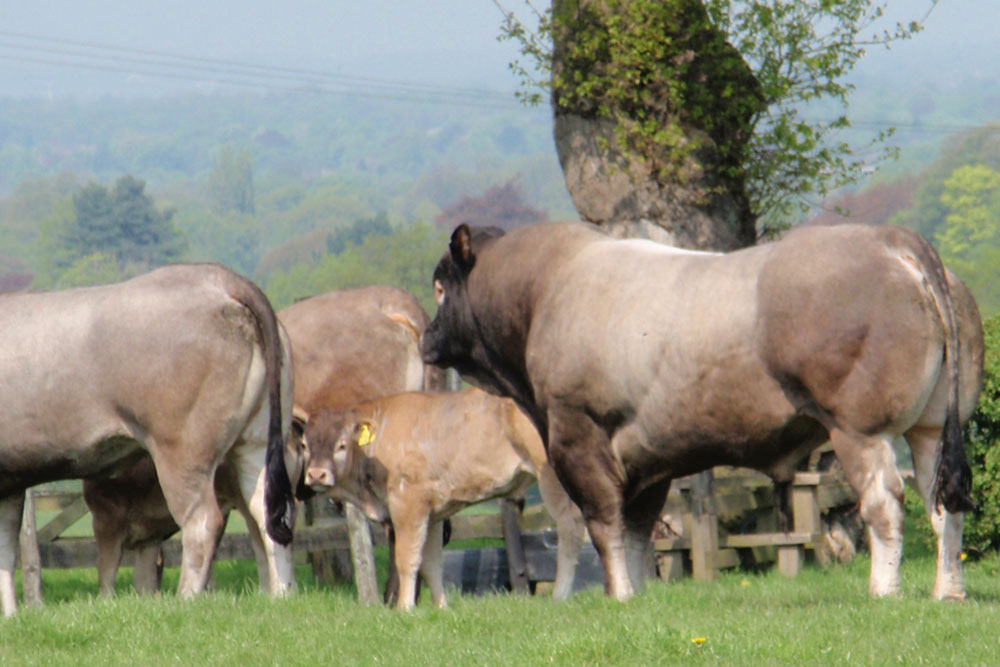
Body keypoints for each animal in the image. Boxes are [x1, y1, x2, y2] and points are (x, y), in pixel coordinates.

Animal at [0, 263, 298, 617]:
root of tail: (218, 277)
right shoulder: (11, 483)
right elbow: (6, 554)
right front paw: (11, 615)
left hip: (181, 451)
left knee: (203, 523)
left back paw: (186, 598)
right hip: (255, 443)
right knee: (267, 517)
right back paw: (280, 596)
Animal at [302, 387, 586, 610]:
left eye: (341, 445)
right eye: (304, 445)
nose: (316, 474)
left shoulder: (408, 503)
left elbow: (407, 559)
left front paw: (404, 607)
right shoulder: (434, 513)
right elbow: (431, 563)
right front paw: (441, 607)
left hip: (552, 477)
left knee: (570, 528)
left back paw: (560, 595)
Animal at [421, 221, 984, 602]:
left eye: (440, 287)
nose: (426, 338)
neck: (547, 291)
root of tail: (890, 238)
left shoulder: (578, 435)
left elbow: (603, 525)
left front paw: (617, 595)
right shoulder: (645, 457)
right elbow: (635, 532)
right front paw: (637, 599)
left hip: (859, 429)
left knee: (885, 502)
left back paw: (882, 590)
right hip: (933, 426)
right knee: (942, 504)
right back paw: (948, 591)